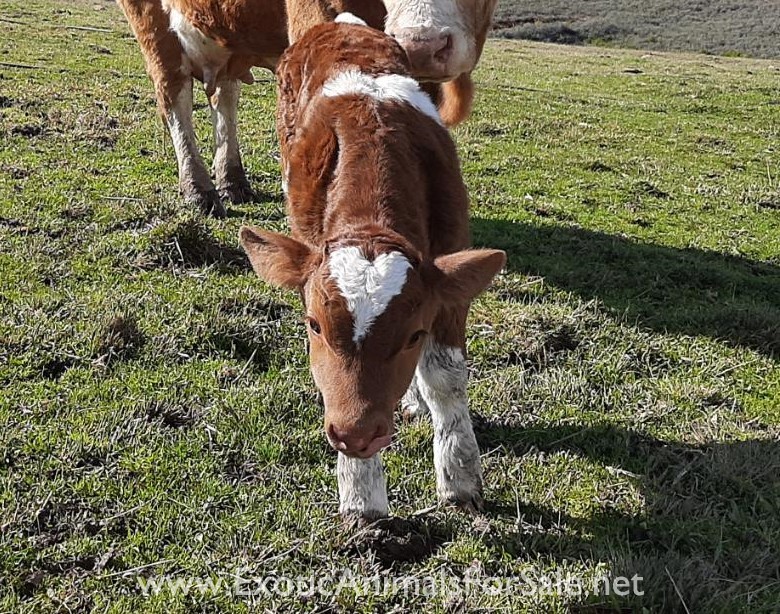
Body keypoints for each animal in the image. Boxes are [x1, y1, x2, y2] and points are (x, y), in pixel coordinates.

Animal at [115, 0, 499, 217]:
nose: (421, 44)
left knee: (225, 98)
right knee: (174, 98)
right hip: (153, 26)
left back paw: (233, 181)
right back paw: (199, 191)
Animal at [239, 15, 505, 520]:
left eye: (413, 334)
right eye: (314, 326)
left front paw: (459, 474)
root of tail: (340, 25)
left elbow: (446, 377)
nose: (357, 434)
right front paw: (362, 495)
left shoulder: (449, 280)